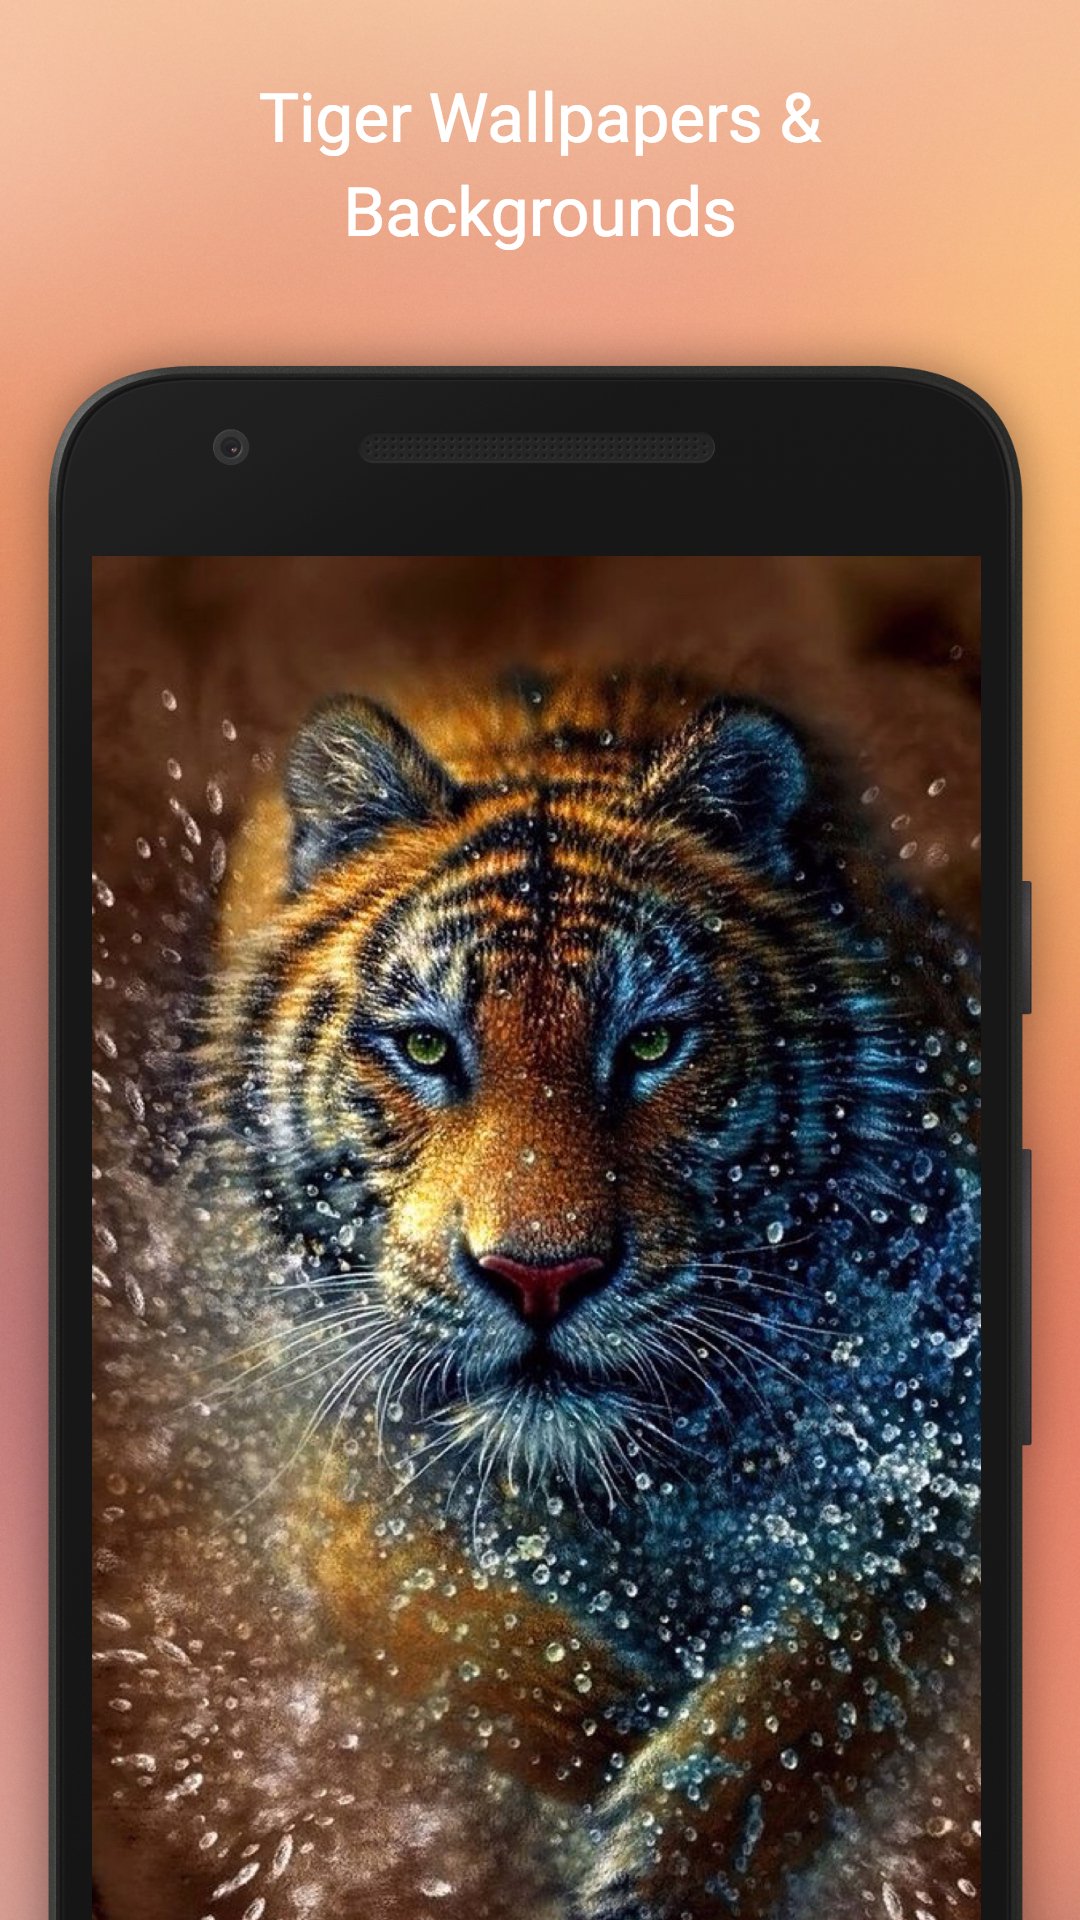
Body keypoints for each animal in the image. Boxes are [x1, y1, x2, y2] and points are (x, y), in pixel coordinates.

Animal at [94, 670, 982, 1920]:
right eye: (426, 1049)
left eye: (652, 1044)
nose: (540, 1275)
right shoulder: (295, 1415)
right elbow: (421, 1608)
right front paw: (606, 1736)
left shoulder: (935, 1433)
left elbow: (823, 1670)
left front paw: (673, 1856)